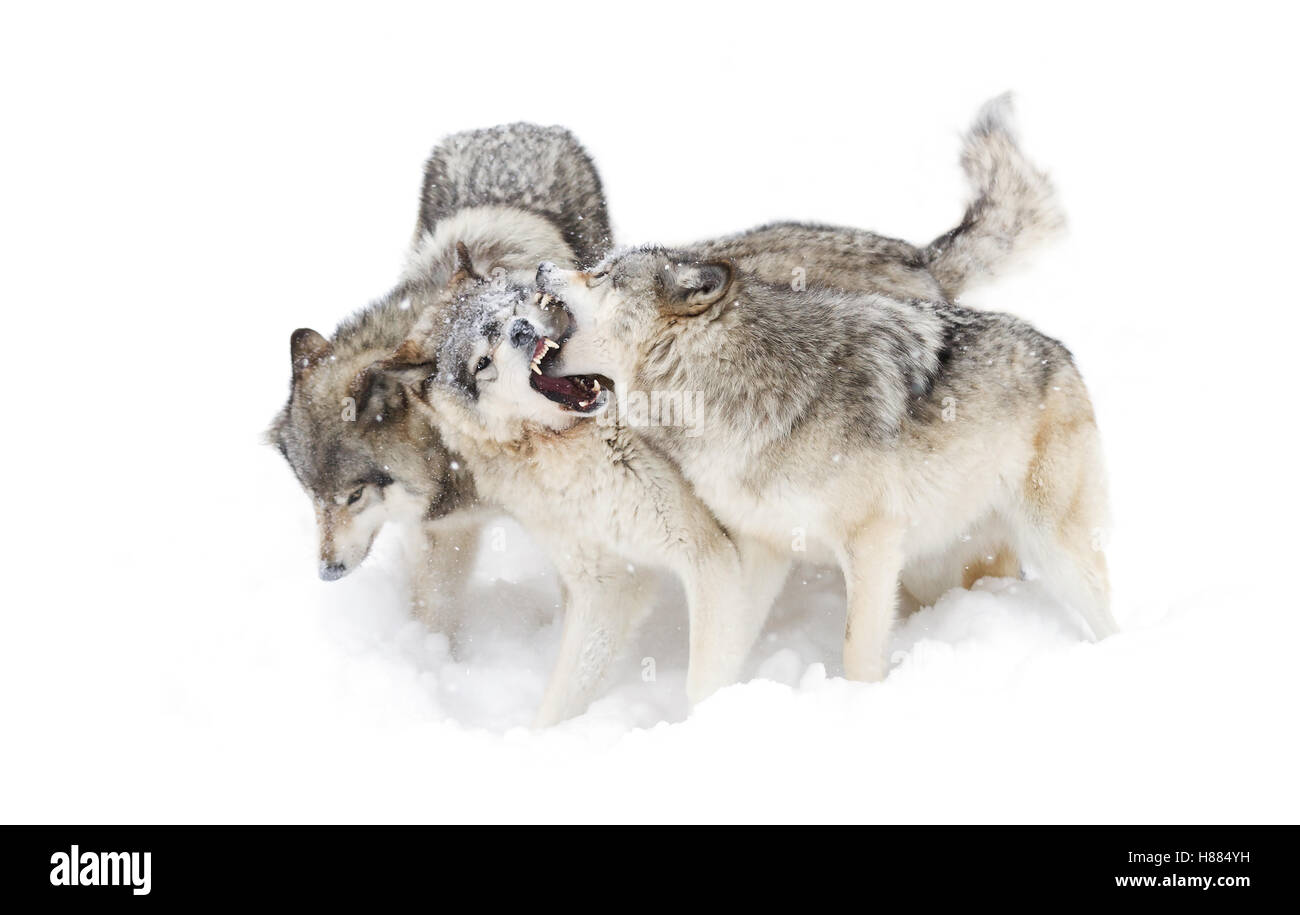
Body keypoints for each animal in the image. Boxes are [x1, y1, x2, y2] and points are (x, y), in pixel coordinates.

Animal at [266, 123, 611, 636]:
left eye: (354, 496)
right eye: (313, 498)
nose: (328, 572)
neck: (450, 452)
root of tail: (509, 127)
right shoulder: (441, 532)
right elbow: (434, 613)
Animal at [371, 248, 764, 722]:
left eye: (517, 309)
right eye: (482, 362)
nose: (522, 331)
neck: (568, 450)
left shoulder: (709, 556)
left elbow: (706, 679)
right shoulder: (606, 587)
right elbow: (559, 700)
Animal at [533, 98, 1112, 686]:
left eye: (601, 275)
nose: (542, 267)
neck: (730, 391)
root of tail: (1060, 353)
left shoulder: (871, 544)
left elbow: (856, 651)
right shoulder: (759, 549)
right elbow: (715, 658)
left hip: (1051, 545)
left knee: (1105, 613)